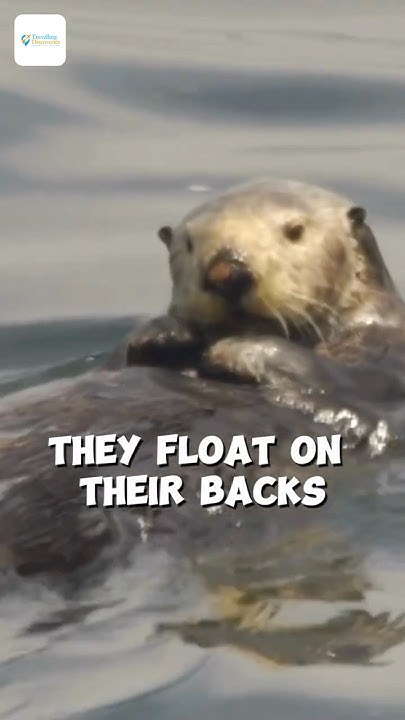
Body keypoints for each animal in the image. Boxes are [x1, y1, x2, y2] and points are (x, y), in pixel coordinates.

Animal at [124, 179, 405, 396]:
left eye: (296, 230)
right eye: (189, 243)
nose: (228, 272)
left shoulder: (382, 353)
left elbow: (350, 377)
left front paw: (241, 350)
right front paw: (165, 332)